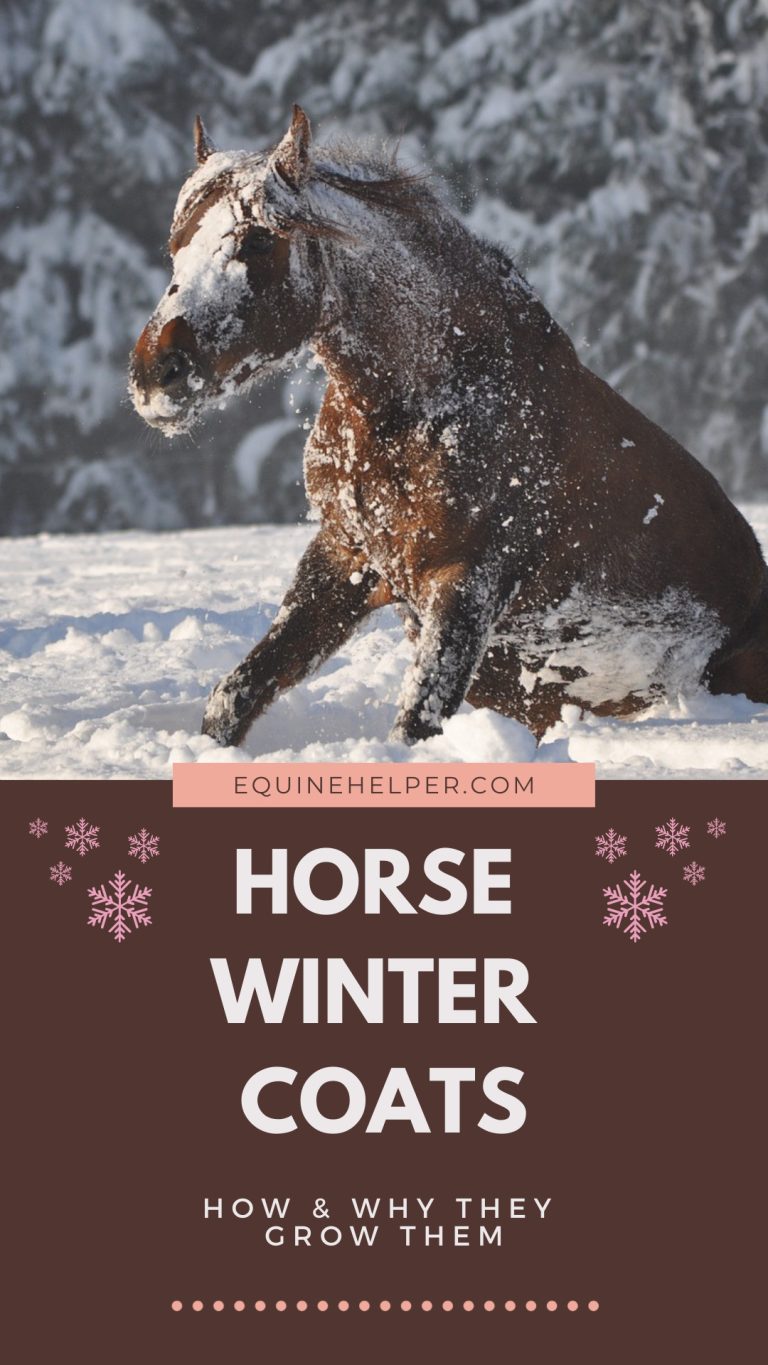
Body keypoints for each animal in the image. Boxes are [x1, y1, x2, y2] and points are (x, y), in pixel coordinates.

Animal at [130, 106, 768, 748]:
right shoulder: (345, 559)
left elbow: (418, 722)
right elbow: (237, 694)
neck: (415, 413)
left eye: (257, 239)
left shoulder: (467, 584)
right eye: (176, 246)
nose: (154, 375)